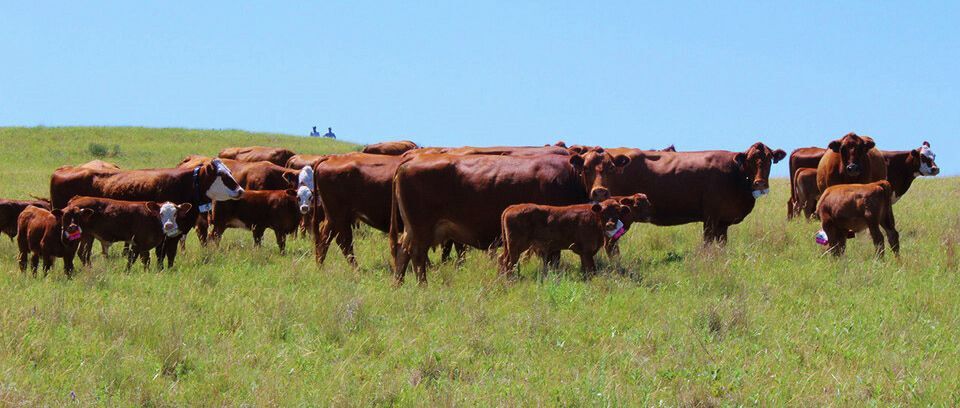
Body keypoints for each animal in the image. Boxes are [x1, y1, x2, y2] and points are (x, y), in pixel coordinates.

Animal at [62, 196, 192, 269]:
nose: (168, 225)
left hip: (88, 235)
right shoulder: (140, 243)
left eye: (175, 213)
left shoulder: (140, 244)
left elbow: (138, 259)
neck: (151, 218)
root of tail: (76, 200)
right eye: (161, 213)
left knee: (84, 253)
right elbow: (140, 259)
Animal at [390, 152, 607, 285]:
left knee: (402, 252)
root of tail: (409, 162)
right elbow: (553, 259)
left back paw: (398, 284)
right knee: (417, 254)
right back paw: (422, 285)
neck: (568, 176)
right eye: (586, 168)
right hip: (421, 229)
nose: (600, 191)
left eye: (610, 167)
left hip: (412, 229)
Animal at [499, 198, 630, 279]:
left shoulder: (584, 253)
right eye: (603, 212)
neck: (595, 220)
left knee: (503, 259)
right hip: (516, 247)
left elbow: (585, 269)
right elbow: (592, 269)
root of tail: (513, 207)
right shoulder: (587, 251)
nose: (610, 225)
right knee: (509, 262)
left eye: (618, 212)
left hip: (509, 247)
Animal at [576, 143, 786, 244]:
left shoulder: (723, 222)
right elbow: (708, 243)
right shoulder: (711, 217)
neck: (735, 174)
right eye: (749, 160)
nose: (759, 182)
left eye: (769, 159)